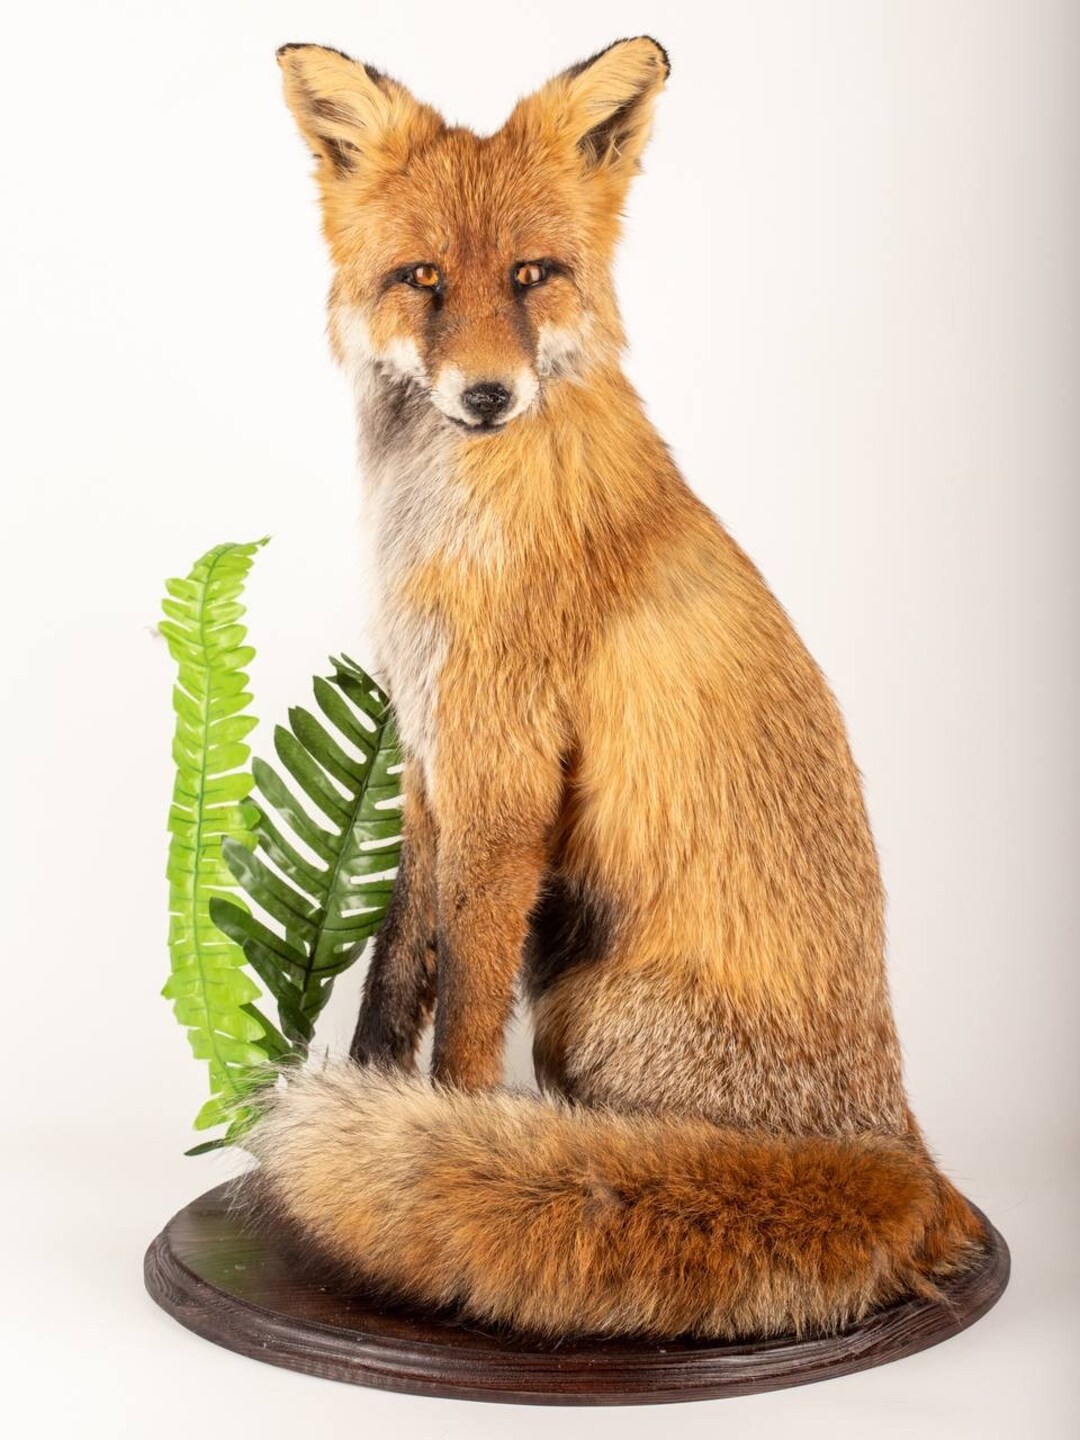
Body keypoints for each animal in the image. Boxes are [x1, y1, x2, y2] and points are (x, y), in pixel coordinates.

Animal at [247, 36, 987, 1340]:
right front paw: (374, 1099)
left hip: (585, 1009)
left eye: (533, 275)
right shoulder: (428, 754)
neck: (440, 514)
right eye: (423, 278)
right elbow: (397, 974)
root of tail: (905, 1154)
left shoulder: (503, 774)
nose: (489, 396)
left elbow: (463, 1021)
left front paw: (440, 1138)